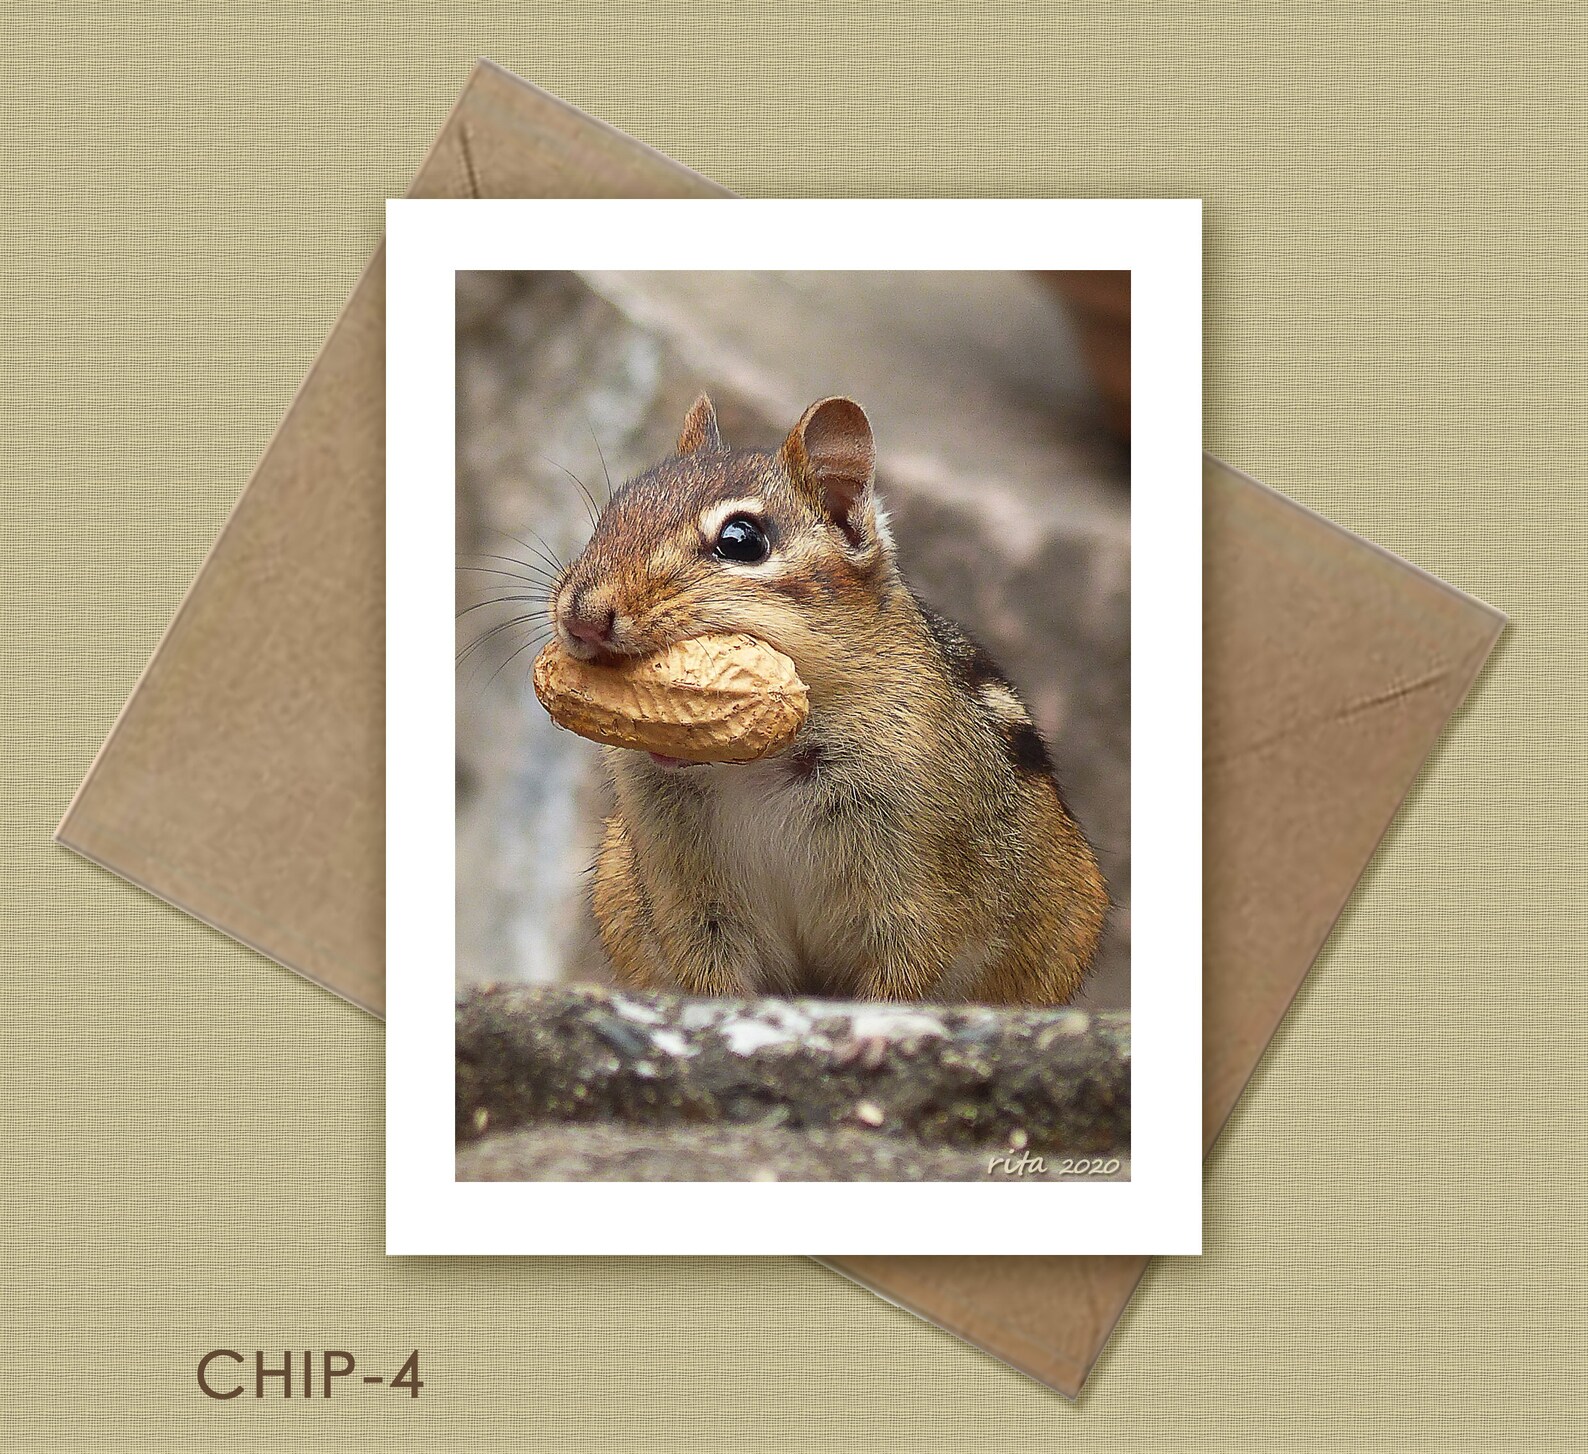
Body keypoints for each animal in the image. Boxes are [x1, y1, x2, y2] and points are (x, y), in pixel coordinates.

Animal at [549, 393, 1107, 1006]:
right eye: (612, 511)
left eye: (741, 540)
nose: (582, 616)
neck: (753, 766)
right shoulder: (691, 905)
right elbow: (712, 981)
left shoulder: (917, 896)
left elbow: (903, 980)